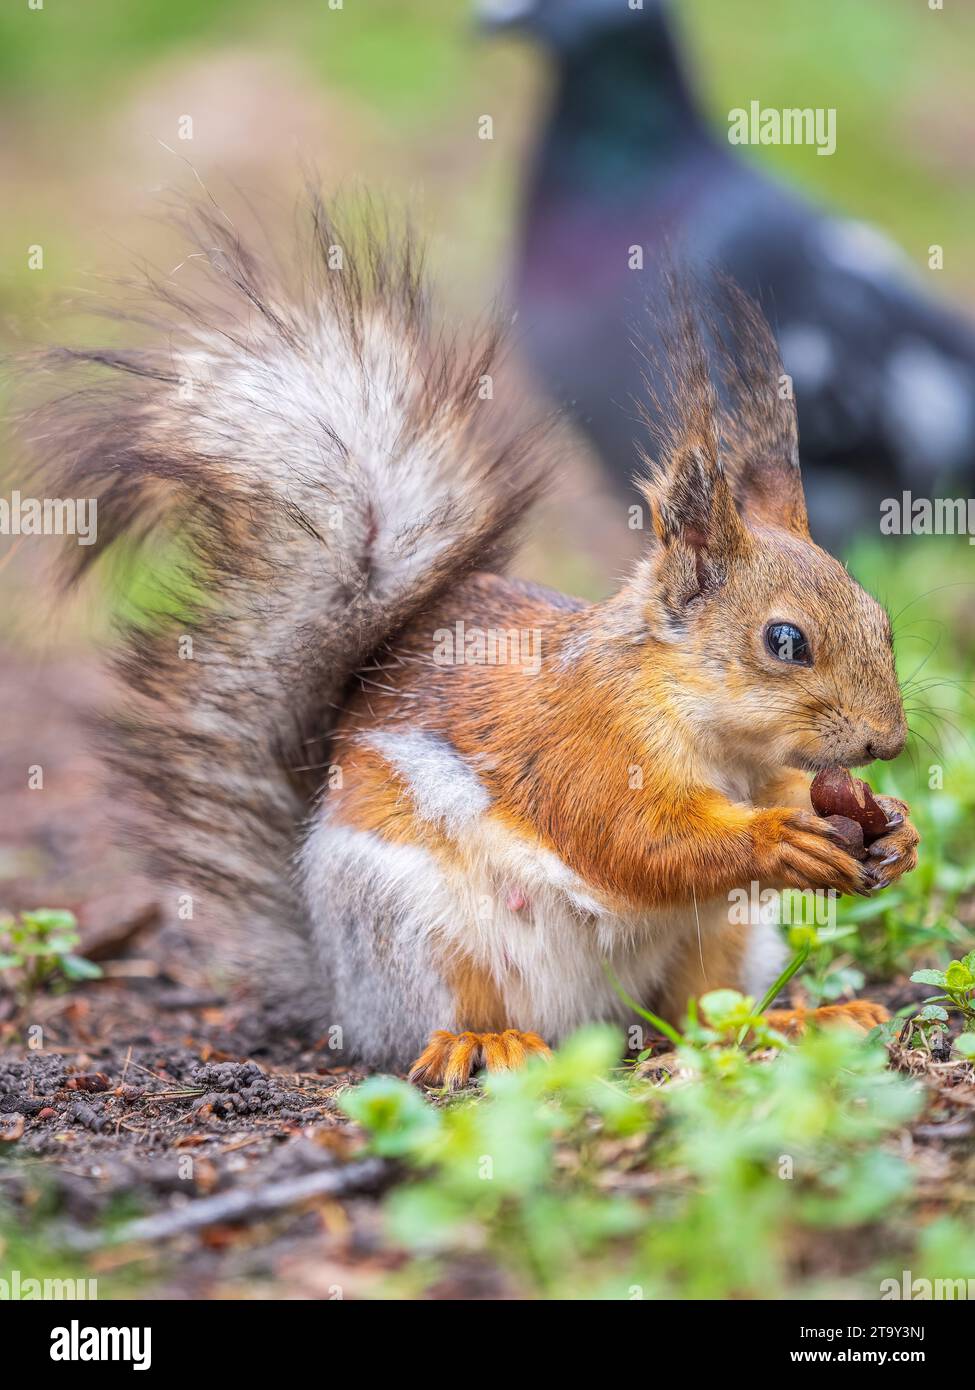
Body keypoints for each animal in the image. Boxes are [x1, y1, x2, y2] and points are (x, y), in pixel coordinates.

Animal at [35, 198, 920, 1087]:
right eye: (785, 640)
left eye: (881, 618)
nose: (887, 742)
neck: (707, 728)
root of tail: (338, 987)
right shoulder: (587, 749)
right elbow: (638, 842)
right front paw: (776, 839)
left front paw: (897, 830)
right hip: (412, 927)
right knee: (441, 1017)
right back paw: (482, 1043)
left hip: (722, 934)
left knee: (704, 1015)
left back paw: (800, 1020)